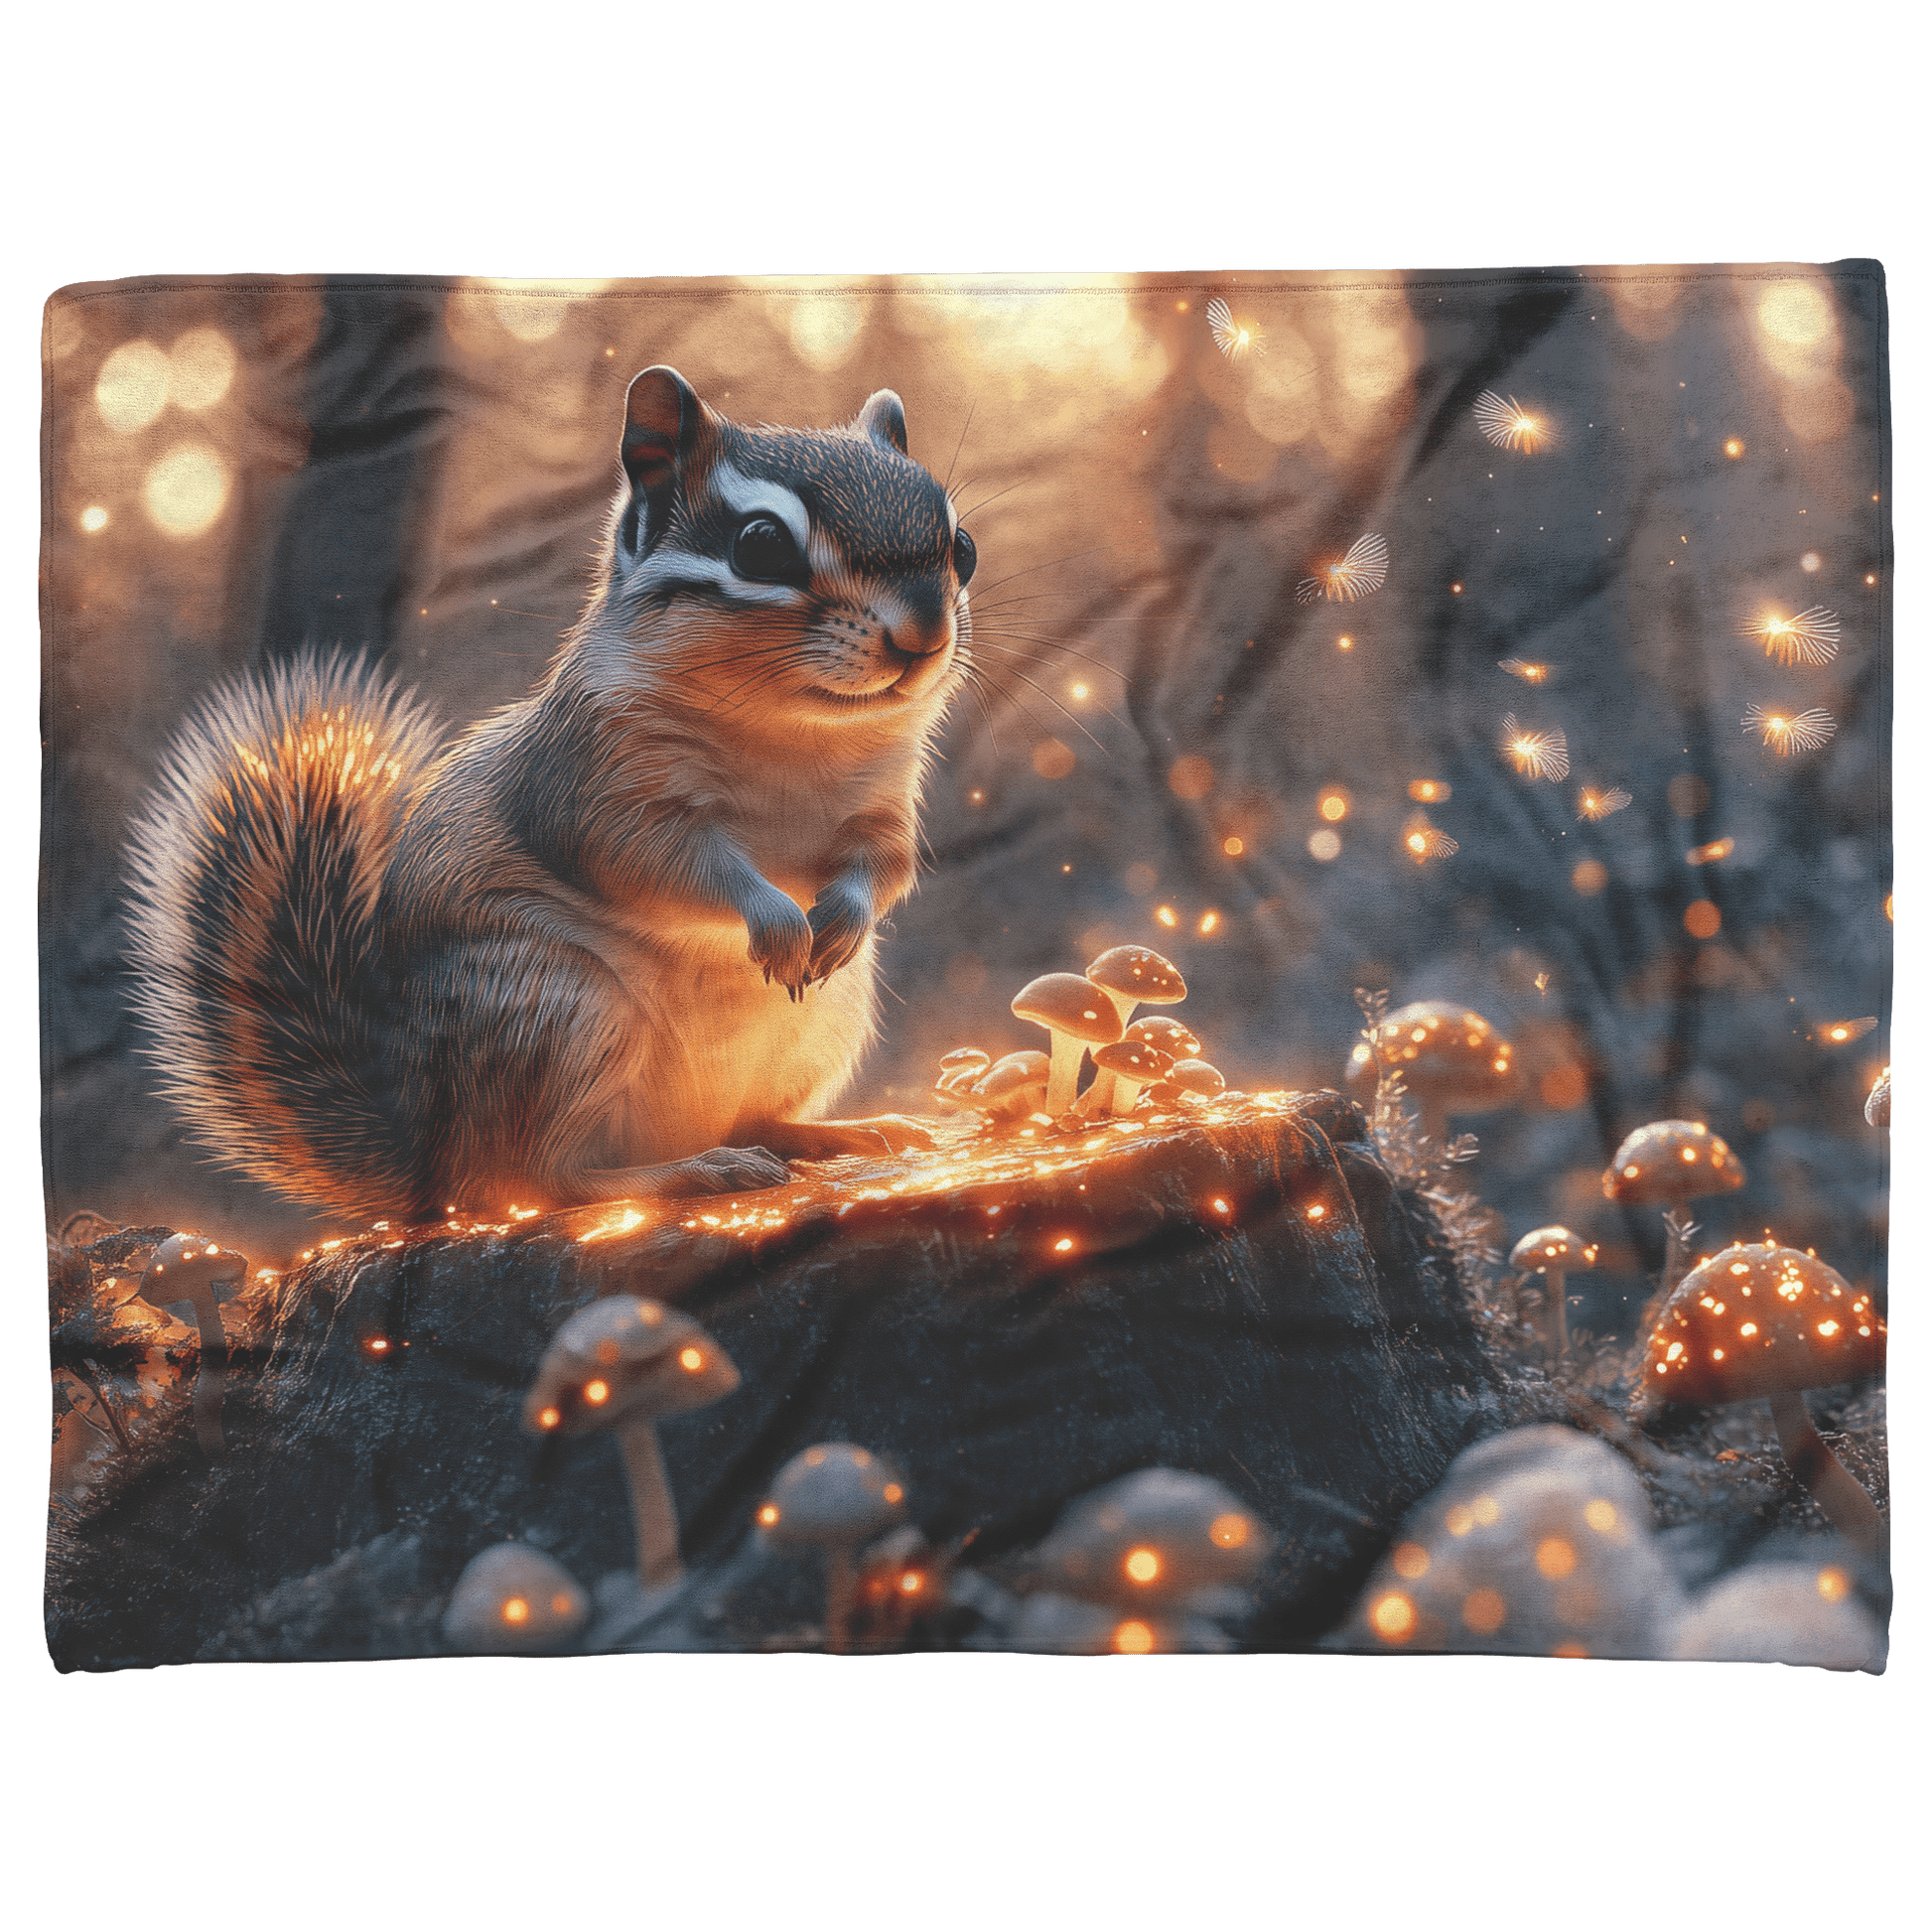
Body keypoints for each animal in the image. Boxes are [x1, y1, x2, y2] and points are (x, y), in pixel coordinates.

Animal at [127, 367, 976, 1226]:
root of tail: (428, 1162)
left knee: (751, 1122)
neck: (797, 732)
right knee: (547, 1178)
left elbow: (886, 867)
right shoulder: (598, 790)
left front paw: (841, 919)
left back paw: (840, 1133)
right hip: (560, 1008)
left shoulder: (884, 809)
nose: (924, 635)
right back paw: (689, 1172)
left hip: (820, 1019)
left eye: (962, 549)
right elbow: (663, 863)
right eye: (762, 545)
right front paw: (775, 920)